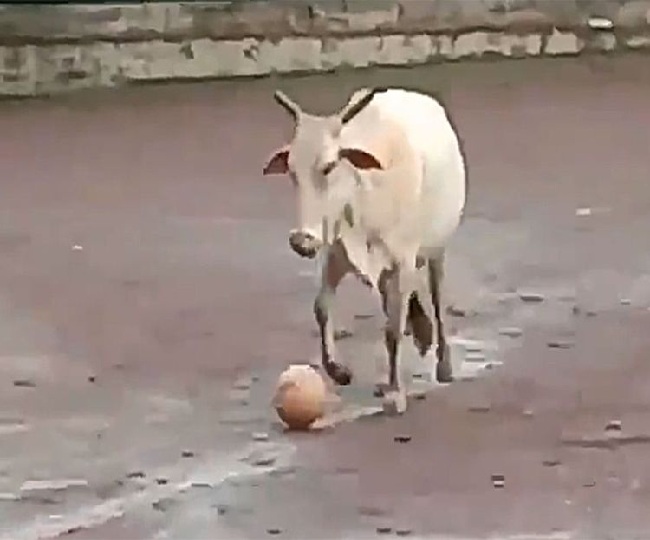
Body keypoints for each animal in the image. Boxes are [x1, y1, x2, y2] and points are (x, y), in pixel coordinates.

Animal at [262, 87, 467, 415]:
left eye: (329, 167)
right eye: (292, 171)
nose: (301, 240)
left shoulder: (402, 262)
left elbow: (393, 328)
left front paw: (396, 394)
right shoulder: (338, 255)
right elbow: (322, 307)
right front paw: (338, 370)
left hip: (437, 250)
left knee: (436, 301)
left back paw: (443, 364)